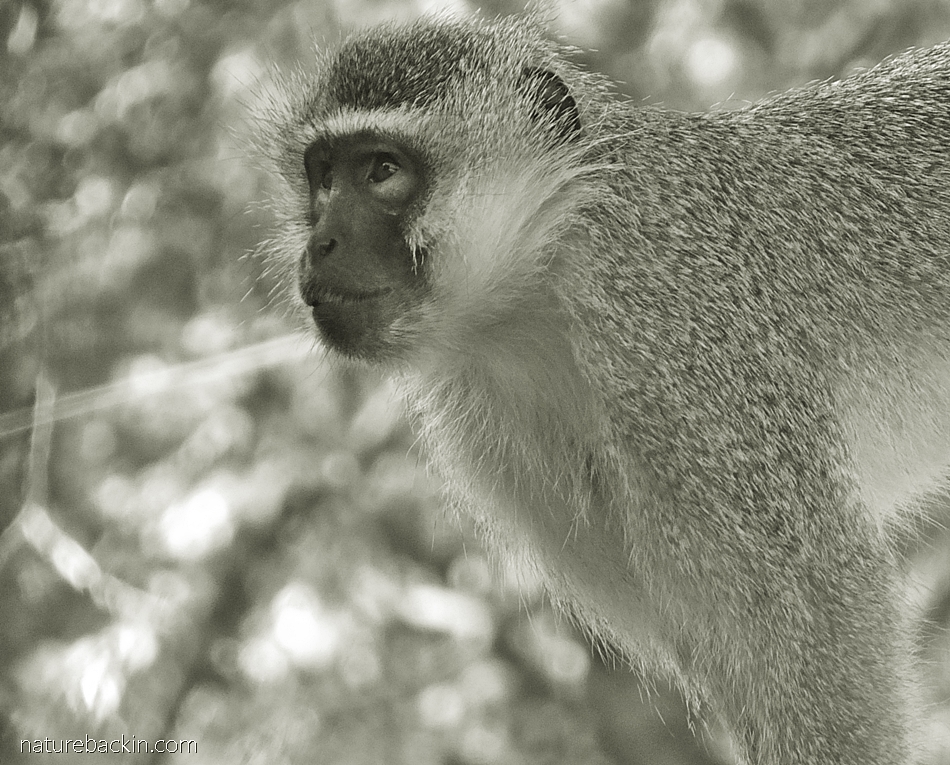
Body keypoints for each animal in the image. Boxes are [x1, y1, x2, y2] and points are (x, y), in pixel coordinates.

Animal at [254, 13, 950, 765]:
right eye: (324, 176)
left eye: (383, 171)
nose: (321, 244)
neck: (545, 263)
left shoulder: (673, 330)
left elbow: (813, 608)